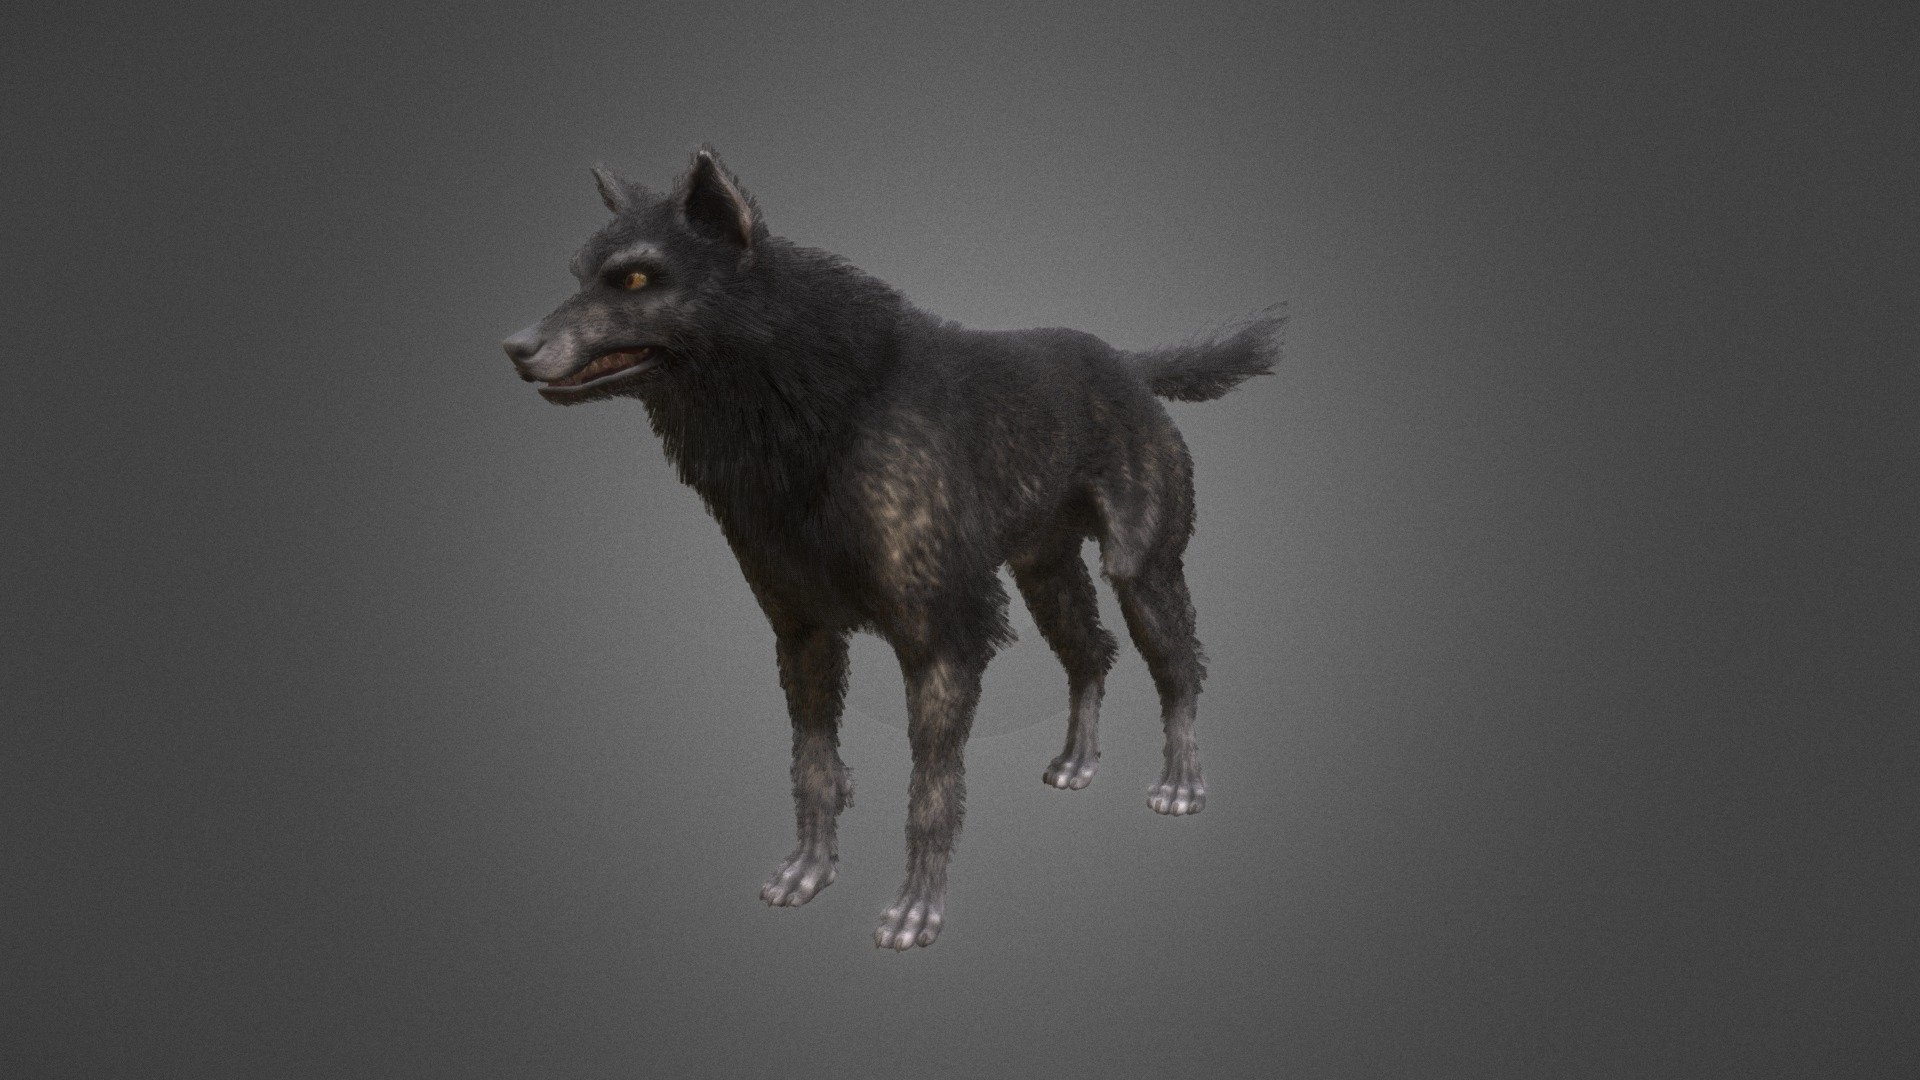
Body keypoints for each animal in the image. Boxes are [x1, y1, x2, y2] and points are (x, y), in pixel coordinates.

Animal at [502, 149, 1280, 949]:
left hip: (1141, 573)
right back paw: (1076, 760)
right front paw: (811, 869)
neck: (822, 412)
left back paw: (1181, 783)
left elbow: (930, 796)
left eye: (634, 278)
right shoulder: (804, 636)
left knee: (1179, 668)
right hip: (1045, 574)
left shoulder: (942, 643)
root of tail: (1126, 363)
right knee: (1092, 652)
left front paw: (917, 908)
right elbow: (814, 769)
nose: (515, 348)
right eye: (579, 273)